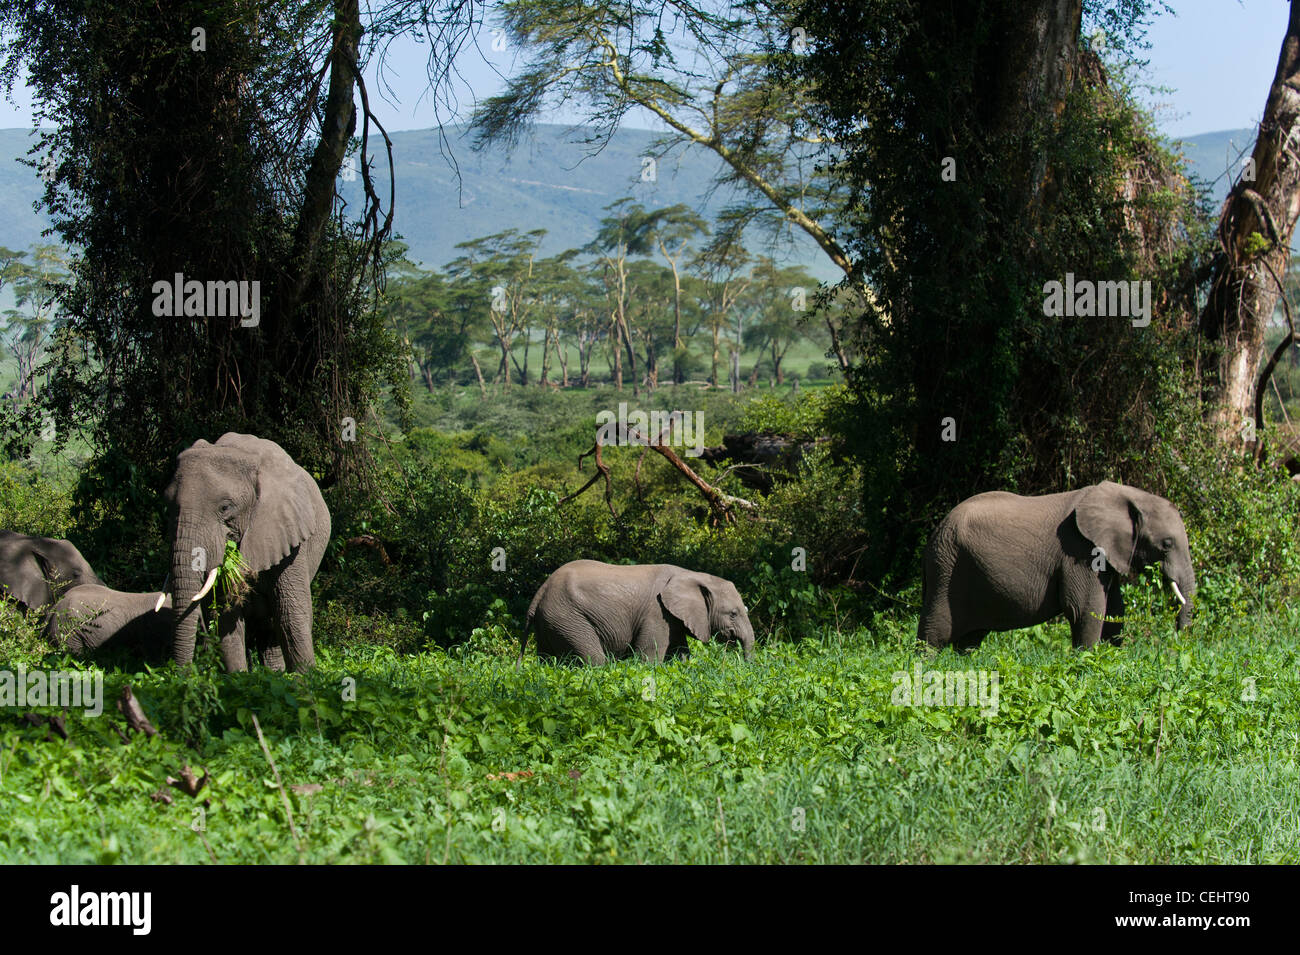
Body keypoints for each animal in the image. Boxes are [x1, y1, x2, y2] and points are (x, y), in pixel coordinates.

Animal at [164, 433, 330, 672]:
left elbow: (291, 612)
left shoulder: (288, 533)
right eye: (167, 506)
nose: (182, 676)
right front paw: (239, 677)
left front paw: (306, 677)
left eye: (225, 508)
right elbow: (226, 616)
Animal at [521, 560, 755, 665]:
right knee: (594, 660)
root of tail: (541, 591)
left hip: (551, 622)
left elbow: (681, 653)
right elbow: (648, 657)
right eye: (733, 614)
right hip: (568, 618)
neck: (692, 574)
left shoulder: (672, 619)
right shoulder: (657, 613)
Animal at [918, 481, 1195, 651]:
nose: (1179, 641)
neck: (1130, 495)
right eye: (1167, 544)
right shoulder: (1079, 551)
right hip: (947, 565)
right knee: (935, 632)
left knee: (970, 640)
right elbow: (1085, 609)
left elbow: (1115, 610)